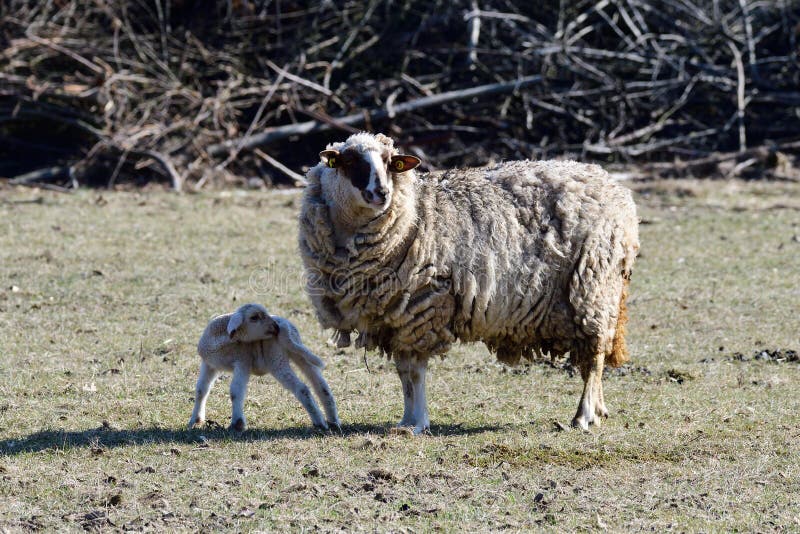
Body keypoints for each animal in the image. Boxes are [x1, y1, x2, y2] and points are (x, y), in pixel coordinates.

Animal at [188, 303, 340, 432]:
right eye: (254, 317)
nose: (275, 327)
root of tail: (285, 326)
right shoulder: (209, 364)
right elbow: (201, 390)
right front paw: (195, 420)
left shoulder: (243, 362)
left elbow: (235, 392)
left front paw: (237, 424)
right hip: (297, 351)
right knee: (320, 385)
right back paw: (332, 421)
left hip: (276, 360)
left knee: (302, 388)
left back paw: (319, 422)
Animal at [298, 132, 639, 434]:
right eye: (350, 161)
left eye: (389, 163)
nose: (381, 193)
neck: (413, 214)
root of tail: (616, 190)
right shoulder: (396, 316)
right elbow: (403, 372)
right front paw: (406, 420)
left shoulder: (421, 306)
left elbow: (414, 372)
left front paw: (418, 423)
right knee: (599, 353)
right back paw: (599, 409)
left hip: (592, 286)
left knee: (594, 355)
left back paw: (584, 416)